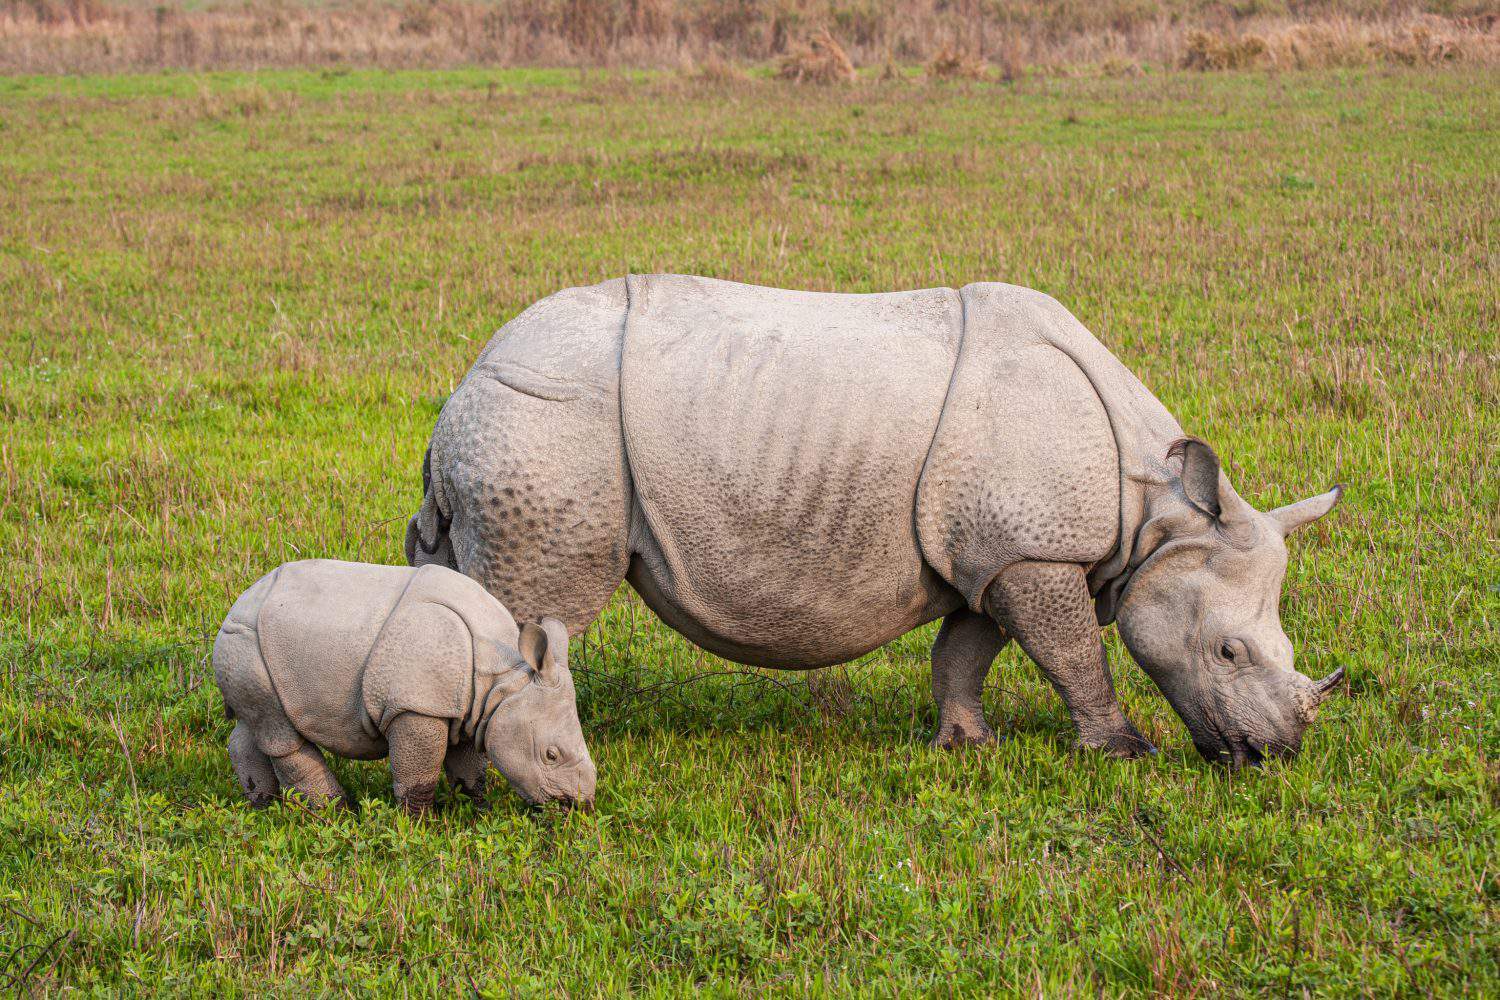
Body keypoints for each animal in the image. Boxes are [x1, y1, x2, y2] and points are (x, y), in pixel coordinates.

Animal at [213, 560, 596, 812]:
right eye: (551, 755)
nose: (578, 805)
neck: (503, 677)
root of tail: (235, 605)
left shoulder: (465, 705)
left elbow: (468, 763)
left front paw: (477, 808)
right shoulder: (416, 705)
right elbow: (418, 771)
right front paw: (419, 824)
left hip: (248, 646)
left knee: (257, 725)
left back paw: (261, 804)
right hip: (244, 641)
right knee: (282, 735)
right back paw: (335, 813)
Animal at [407, 275, 1345, 767]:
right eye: (1228, 652)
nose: (1274, 755)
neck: (1157, 509)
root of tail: (468, 379)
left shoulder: (993, 552)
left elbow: (965, 650)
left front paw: (965, 747)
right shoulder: (1034, 550)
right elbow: (1075, 653)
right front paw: (1125, 754)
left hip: (515, 428)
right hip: (548, 426)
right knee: (529, 607)